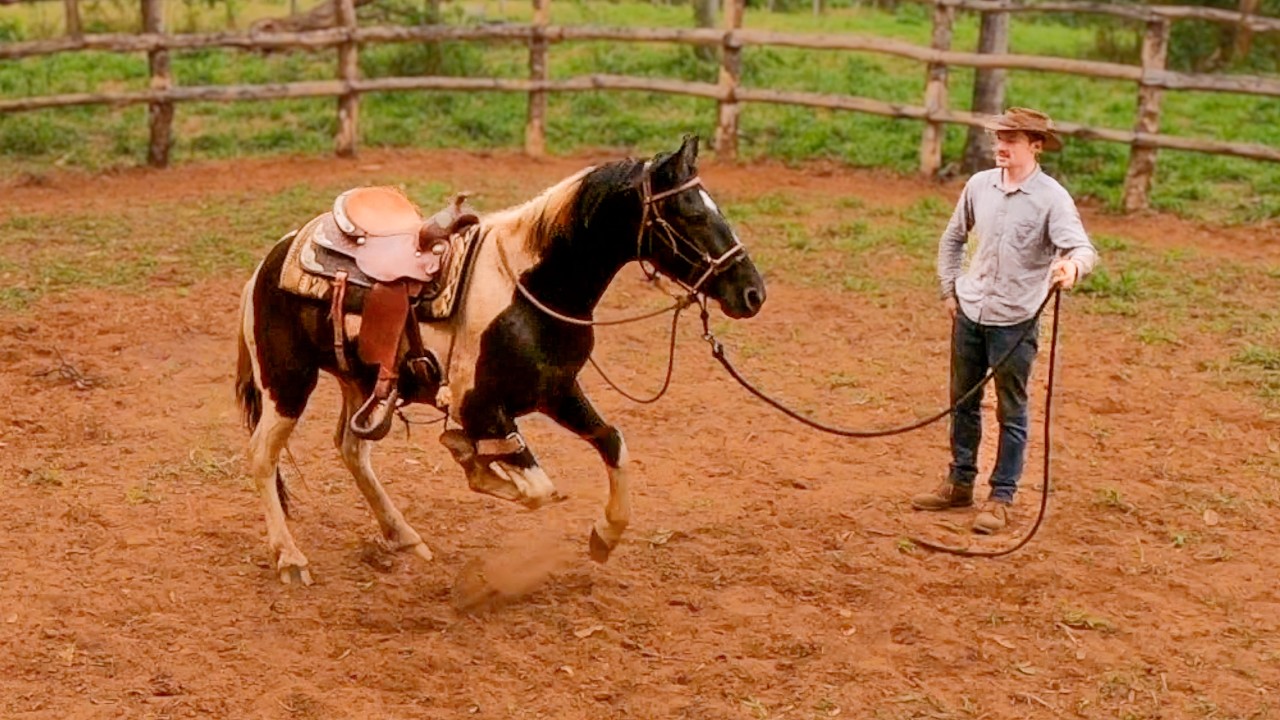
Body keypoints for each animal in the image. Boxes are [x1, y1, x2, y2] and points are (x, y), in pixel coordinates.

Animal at [235, 136, 766, 585]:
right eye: (689, 214)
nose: (753, 293)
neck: (530, 290)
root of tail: (273, 257)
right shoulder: (481, 409)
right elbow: (537, 486)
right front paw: (470, 457)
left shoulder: (557, 390)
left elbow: (611, 442)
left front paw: (605, 534)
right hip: (287, 383)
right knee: (262, 456)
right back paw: (290, 558)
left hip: (360, 382)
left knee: (351, 449)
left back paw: (403, 536)